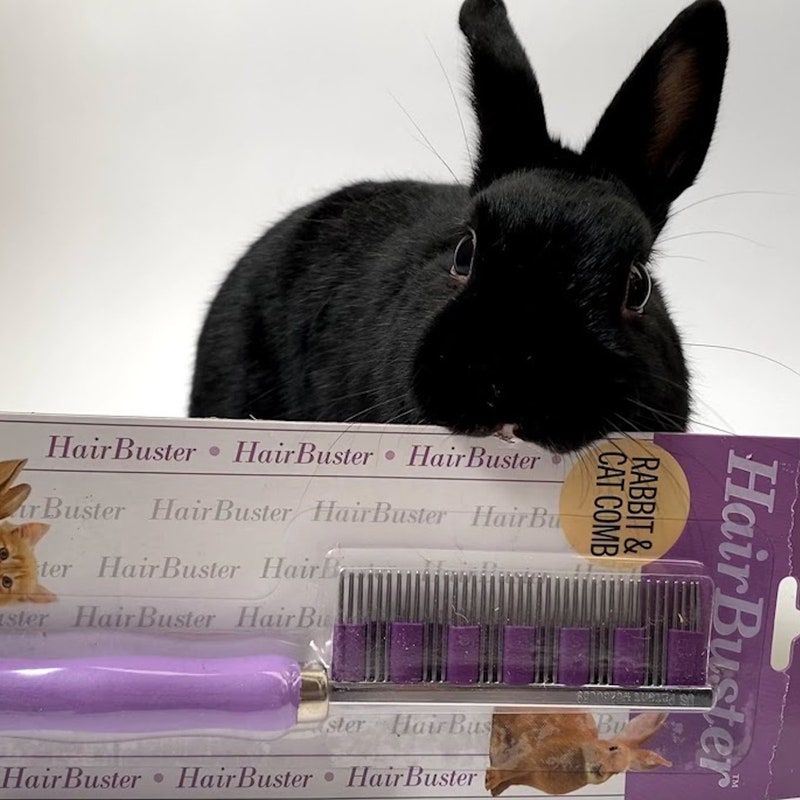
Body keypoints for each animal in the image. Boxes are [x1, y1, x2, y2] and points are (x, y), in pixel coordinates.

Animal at [485, 710, 671, 796]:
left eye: (618, 773)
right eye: (612, 748)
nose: (601, 771)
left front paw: (493, 789)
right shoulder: (530, 757)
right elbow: (512, 767)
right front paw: (489, 781)